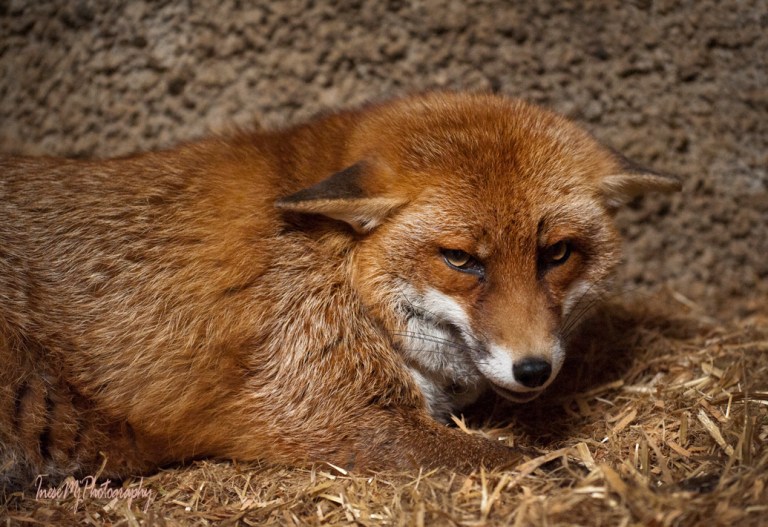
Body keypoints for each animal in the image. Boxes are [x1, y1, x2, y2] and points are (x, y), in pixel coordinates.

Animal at [0, 92, 680, 488]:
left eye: (556, 254)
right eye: (461, 260)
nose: (534, 369)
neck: (344, 271)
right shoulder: (314, 411)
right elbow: (517, 462)